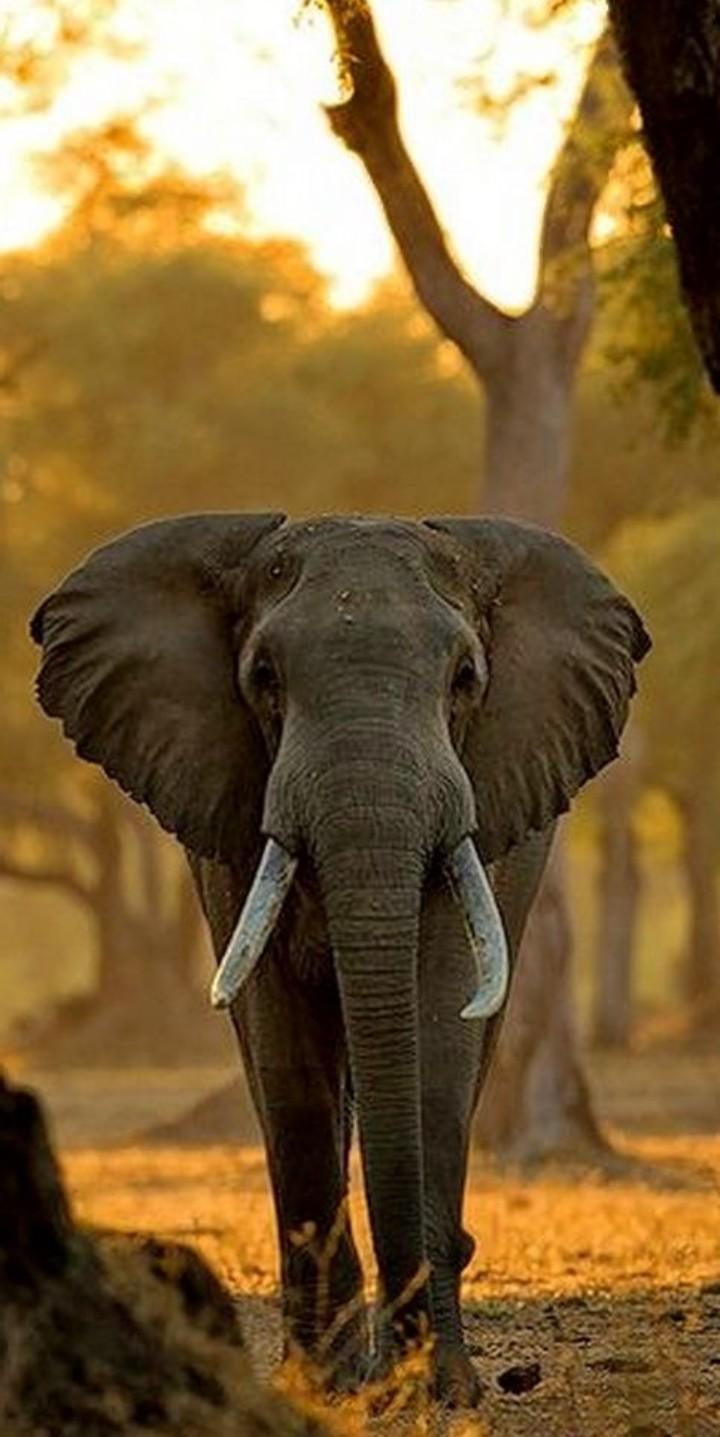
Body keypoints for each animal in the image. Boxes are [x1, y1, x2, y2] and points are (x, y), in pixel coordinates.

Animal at [31, 512, 649, 1405]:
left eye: (466, 677)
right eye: (262, 676)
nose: (408, 1366)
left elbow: (438, 1021)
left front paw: (441, 1390)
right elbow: (282, 1040)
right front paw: (323, 1388)